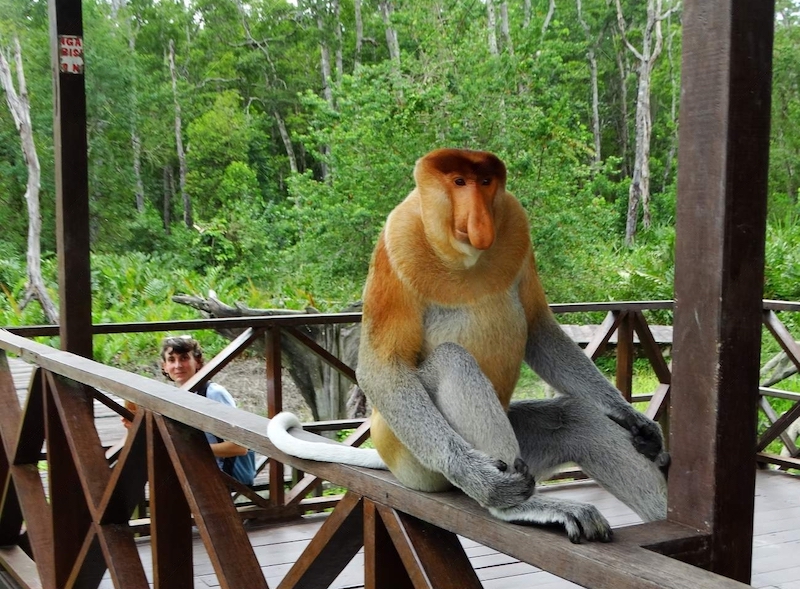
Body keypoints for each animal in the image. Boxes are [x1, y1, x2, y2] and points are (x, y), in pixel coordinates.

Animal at [268, 148, 668, 543]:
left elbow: (539, 329)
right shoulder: (395, 241)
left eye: (485, 182)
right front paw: (481, 480)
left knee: (573, 418)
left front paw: (637, 422)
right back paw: (514, 507)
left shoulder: (516, 221)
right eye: (459, 182)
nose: (478, 219)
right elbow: (383, 365)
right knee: (451, 361)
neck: (462, 255)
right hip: (409, 455)